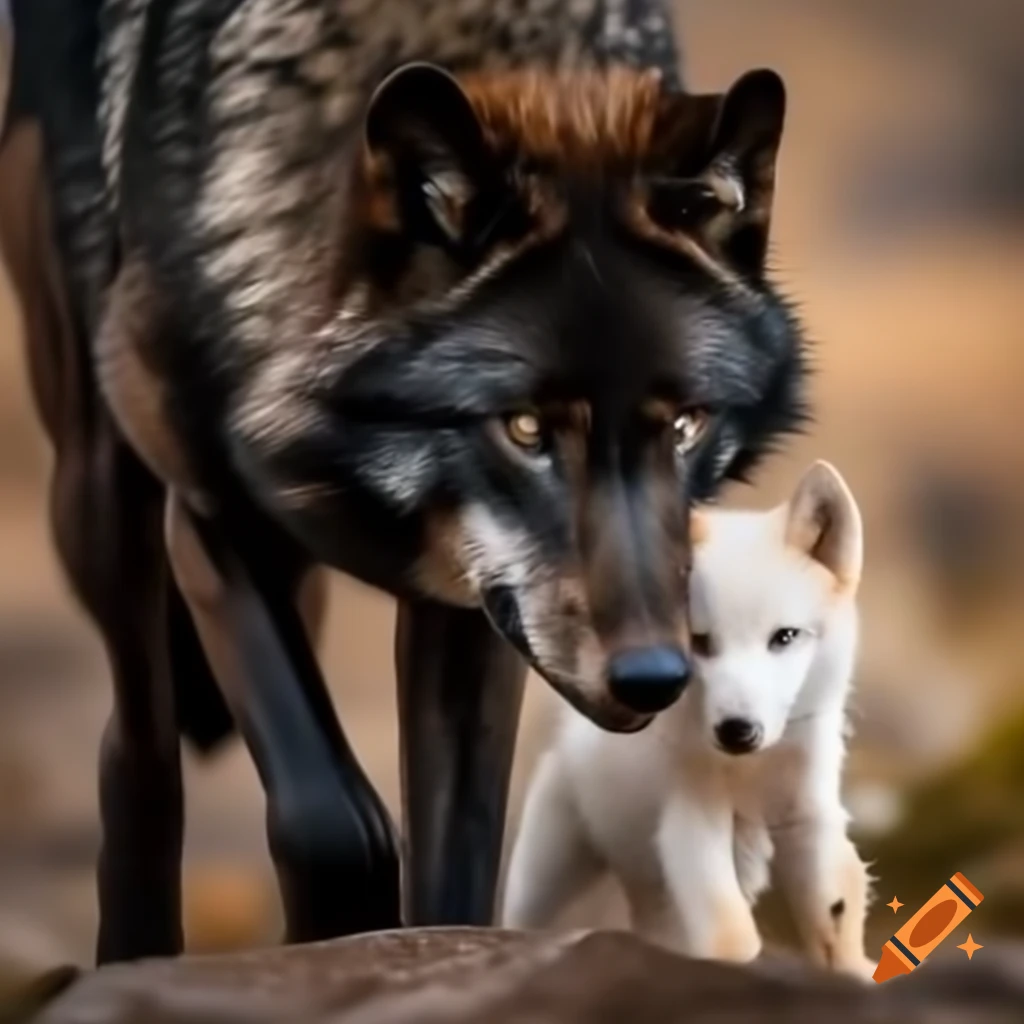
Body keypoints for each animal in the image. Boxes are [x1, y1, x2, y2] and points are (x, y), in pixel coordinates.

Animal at [0, 0, 807, 962]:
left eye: (686, 424)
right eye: (525, 428)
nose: (654, 676)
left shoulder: (474, 613)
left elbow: (458, 856)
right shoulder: (209, 505)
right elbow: (333, 823)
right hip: (96, 485)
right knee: (137, 744)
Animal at [503, 461, 874, 979]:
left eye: (784, 637)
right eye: (699, 642)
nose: (738, 731)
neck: (748, 773)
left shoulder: (808, 820)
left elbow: (834, 923)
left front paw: (854, 971)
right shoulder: (692, 821)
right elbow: (735, 938)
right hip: (548, 875)